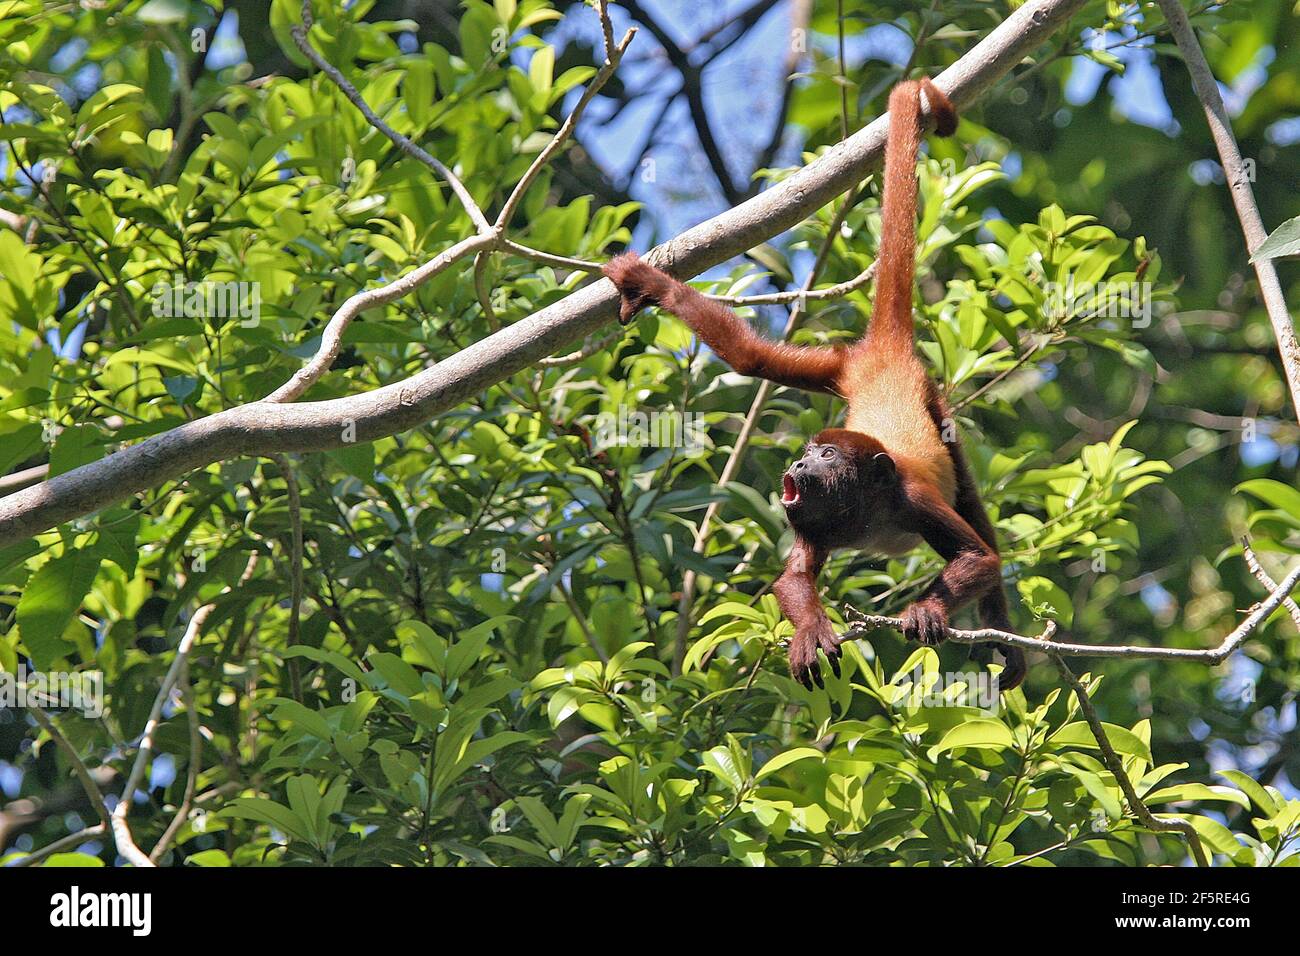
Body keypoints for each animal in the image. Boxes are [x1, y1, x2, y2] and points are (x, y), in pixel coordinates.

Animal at [602, 77, 1027, 692]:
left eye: (826, 456)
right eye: (808, 451)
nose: (800, 462)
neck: (862, 510)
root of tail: (884, 357)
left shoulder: (914, 498)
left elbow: (980, 558)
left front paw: (927, 610)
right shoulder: (810, 520)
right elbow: (793, 579)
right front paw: (810, 632)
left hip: (926, 399)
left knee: (976, 512)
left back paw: (1008, 647)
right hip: (836, 367)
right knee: (749, 357)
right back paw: (655, 286)